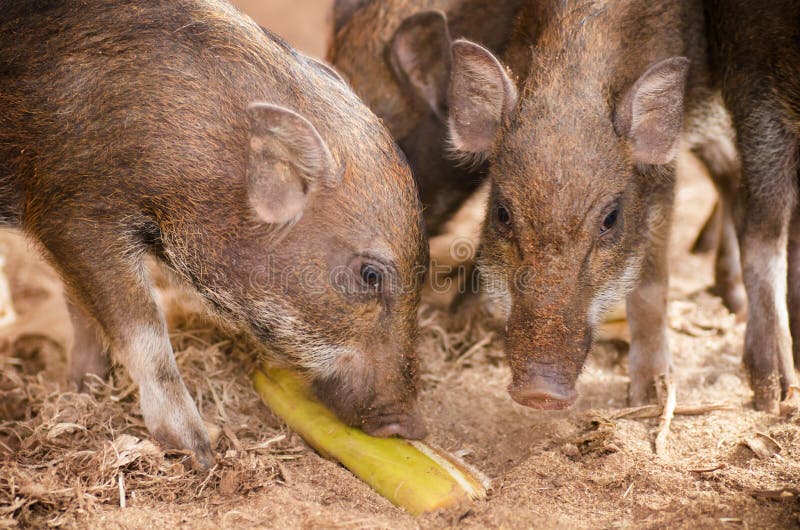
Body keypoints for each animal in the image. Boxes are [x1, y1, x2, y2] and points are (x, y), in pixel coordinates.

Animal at [0, 0, 429, 467]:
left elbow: (82, 310)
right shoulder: (73, 212)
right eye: (370, 275)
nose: (412, 428)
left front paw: (85, 389)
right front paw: (200, 455)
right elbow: (143, 327)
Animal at [444, 0, 760, 409]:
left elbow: (651, 286)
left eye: (610, 218)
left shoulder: (661, 181)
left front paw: (648, 395)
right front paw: (458, 321)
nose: (540, 392)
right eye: (502, 213)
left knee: (732, 171)